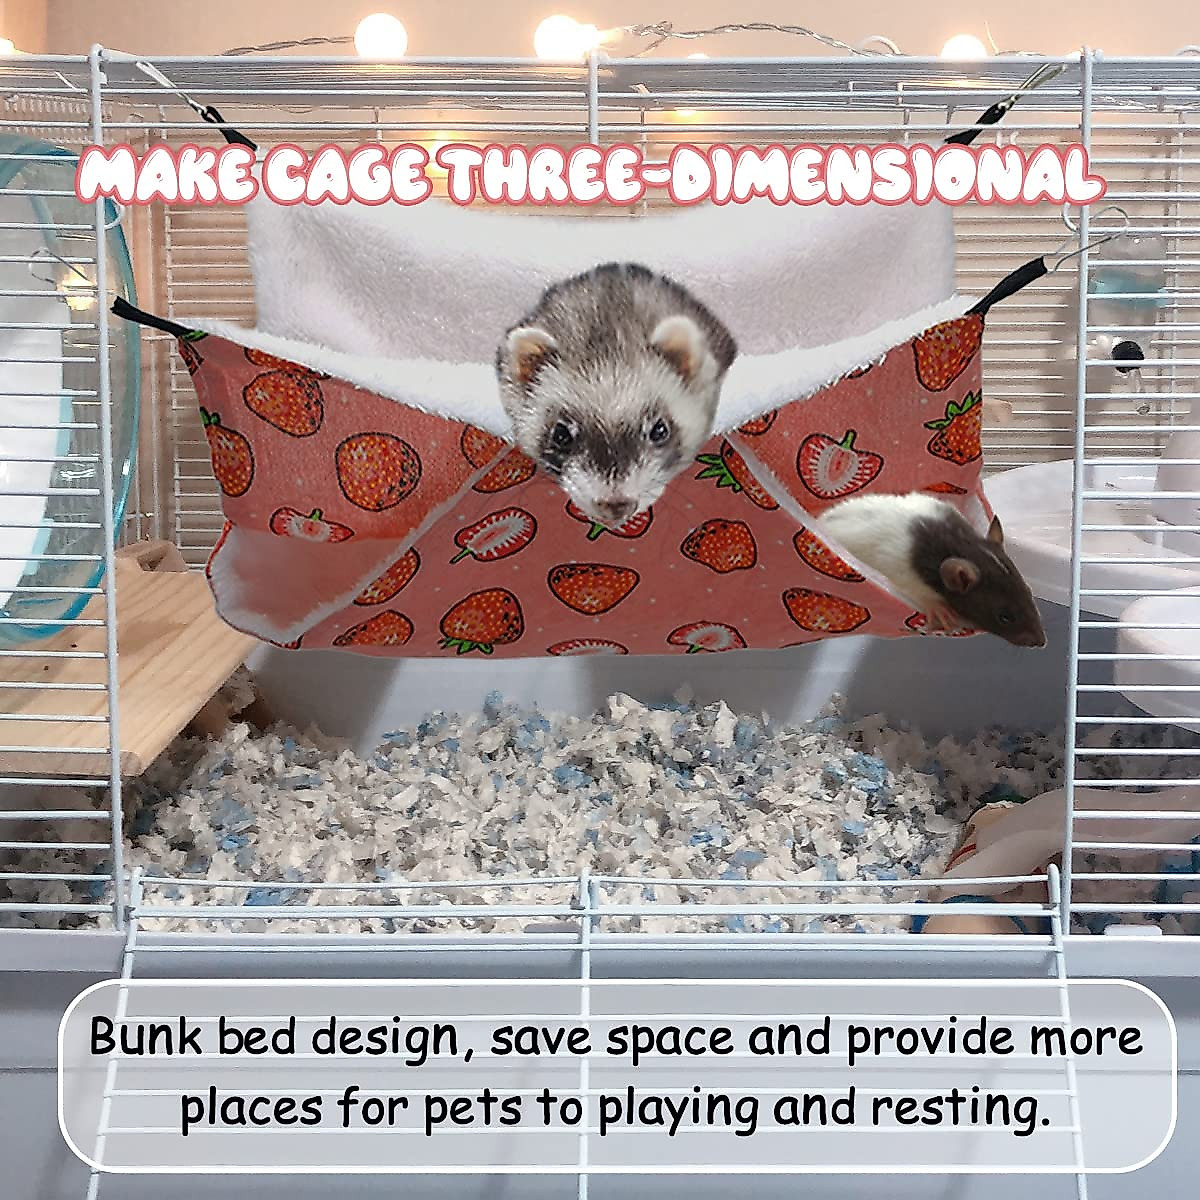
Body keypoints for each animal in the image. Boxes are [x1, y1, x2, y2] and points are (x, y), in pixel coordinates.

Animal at [817, 493, 1046, 648]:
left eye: (1028, 592)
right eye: (1005, 617)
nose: (1042, 642)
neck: (958, 544)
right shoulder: (900, 572)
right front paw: (937, 607)